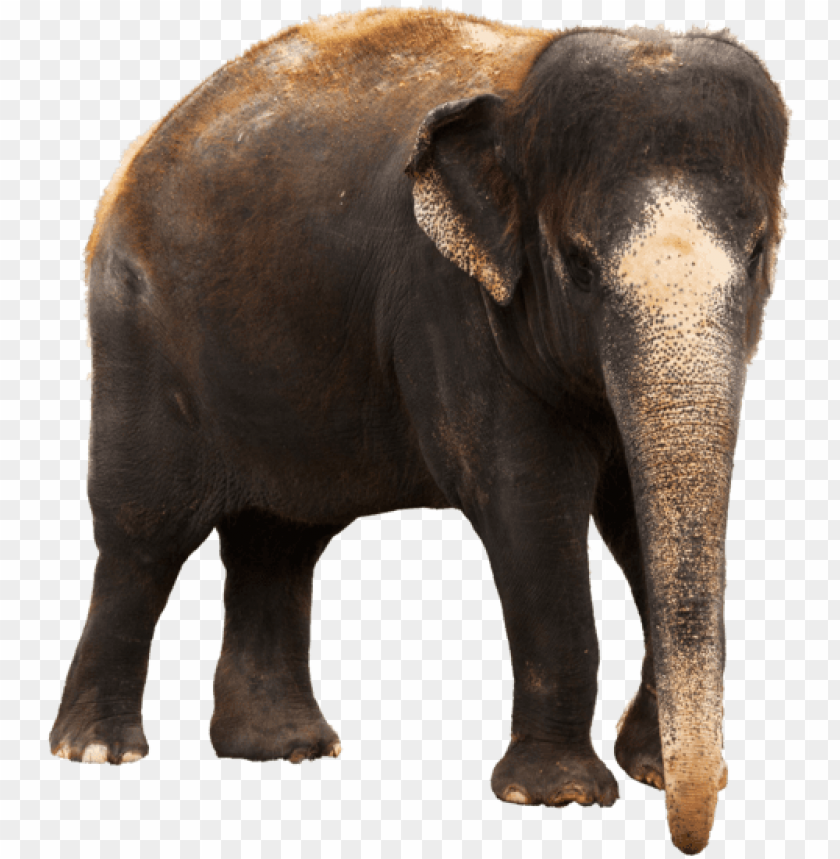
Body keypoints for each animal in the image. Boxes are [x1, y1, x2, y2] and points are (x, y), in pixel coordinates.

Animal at [50, 9, 788, 855]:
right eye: (578, 264)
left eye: (758, 253)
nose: (690, 833)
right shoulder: (449, 303)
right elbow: (527, 505)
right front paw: (559, 797)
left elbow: (635, 516)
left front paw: (651, 771)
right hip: (136, 328)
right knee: (144, 533)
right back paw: (100, 750)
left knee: (279, 539)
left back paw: (285, 748)